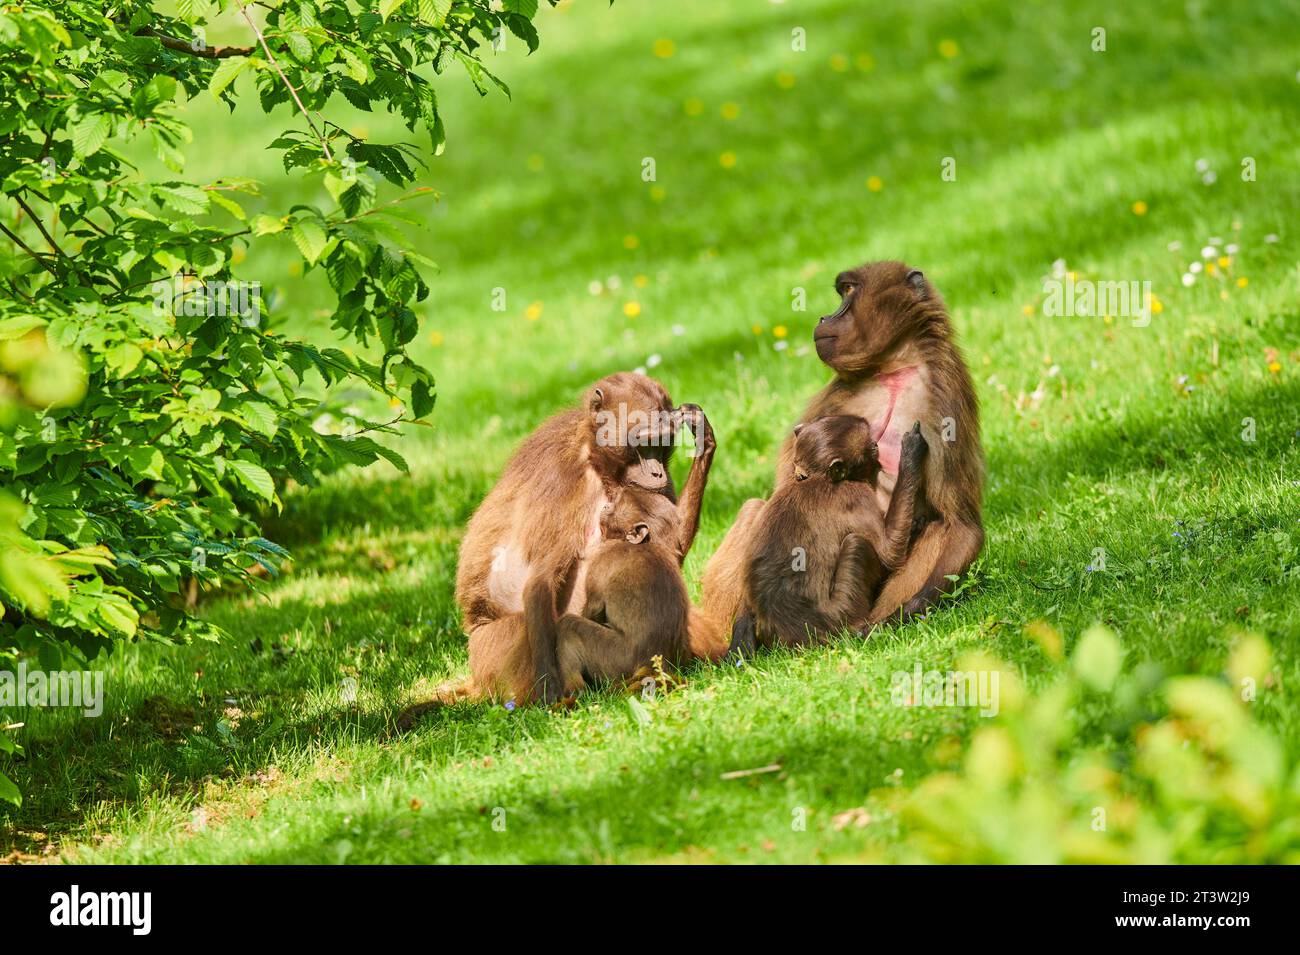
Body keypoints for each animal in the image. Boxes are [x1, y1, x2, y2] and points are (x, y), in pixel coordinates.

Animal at [397, 373, 718, 730]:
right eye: (643, 443)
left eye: (662, 444)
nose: (657, 473)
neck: (599, 463)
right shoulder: (562, 479)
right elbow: (539, 581)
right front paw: (550, 695)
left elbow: (670, 549)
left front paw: (704, 442)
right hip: (493, 653)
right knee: (529, 623)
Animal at [728, 416, 928, 655]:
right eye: (871, 448)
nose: (876, 447)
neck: (814, 478)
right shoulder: (856, 495)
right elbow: (890, 553)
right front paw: (910, 455)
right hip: (842, 612)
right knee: (856, 544)